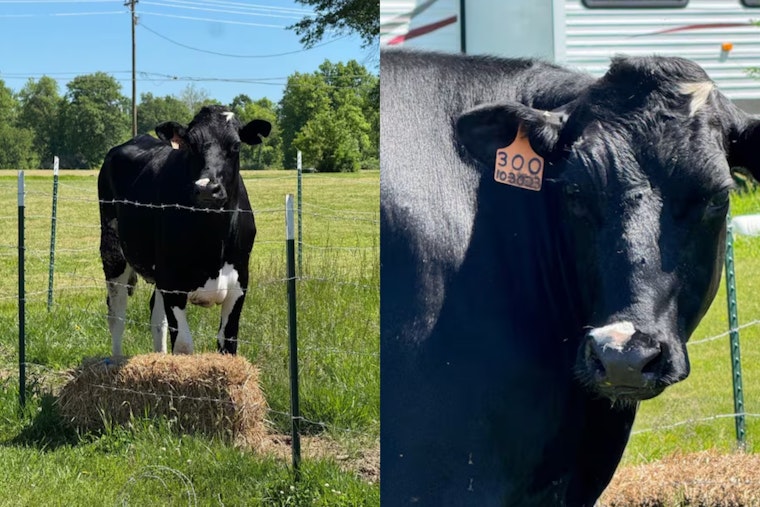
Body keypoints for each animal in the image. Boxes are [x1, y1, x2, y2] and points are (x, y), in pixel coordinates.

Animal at [98, 105, 271, 357]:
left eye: (236, 145)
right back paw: (116, 359)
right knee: (117, 315)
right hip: (113, 252)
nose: (207, 188)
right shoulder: (172, 282)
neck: (214, 242)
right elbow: (183, 346)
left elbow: (228, 342)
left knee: (156, 318)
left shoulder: (239, 282)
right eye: (190, 143)